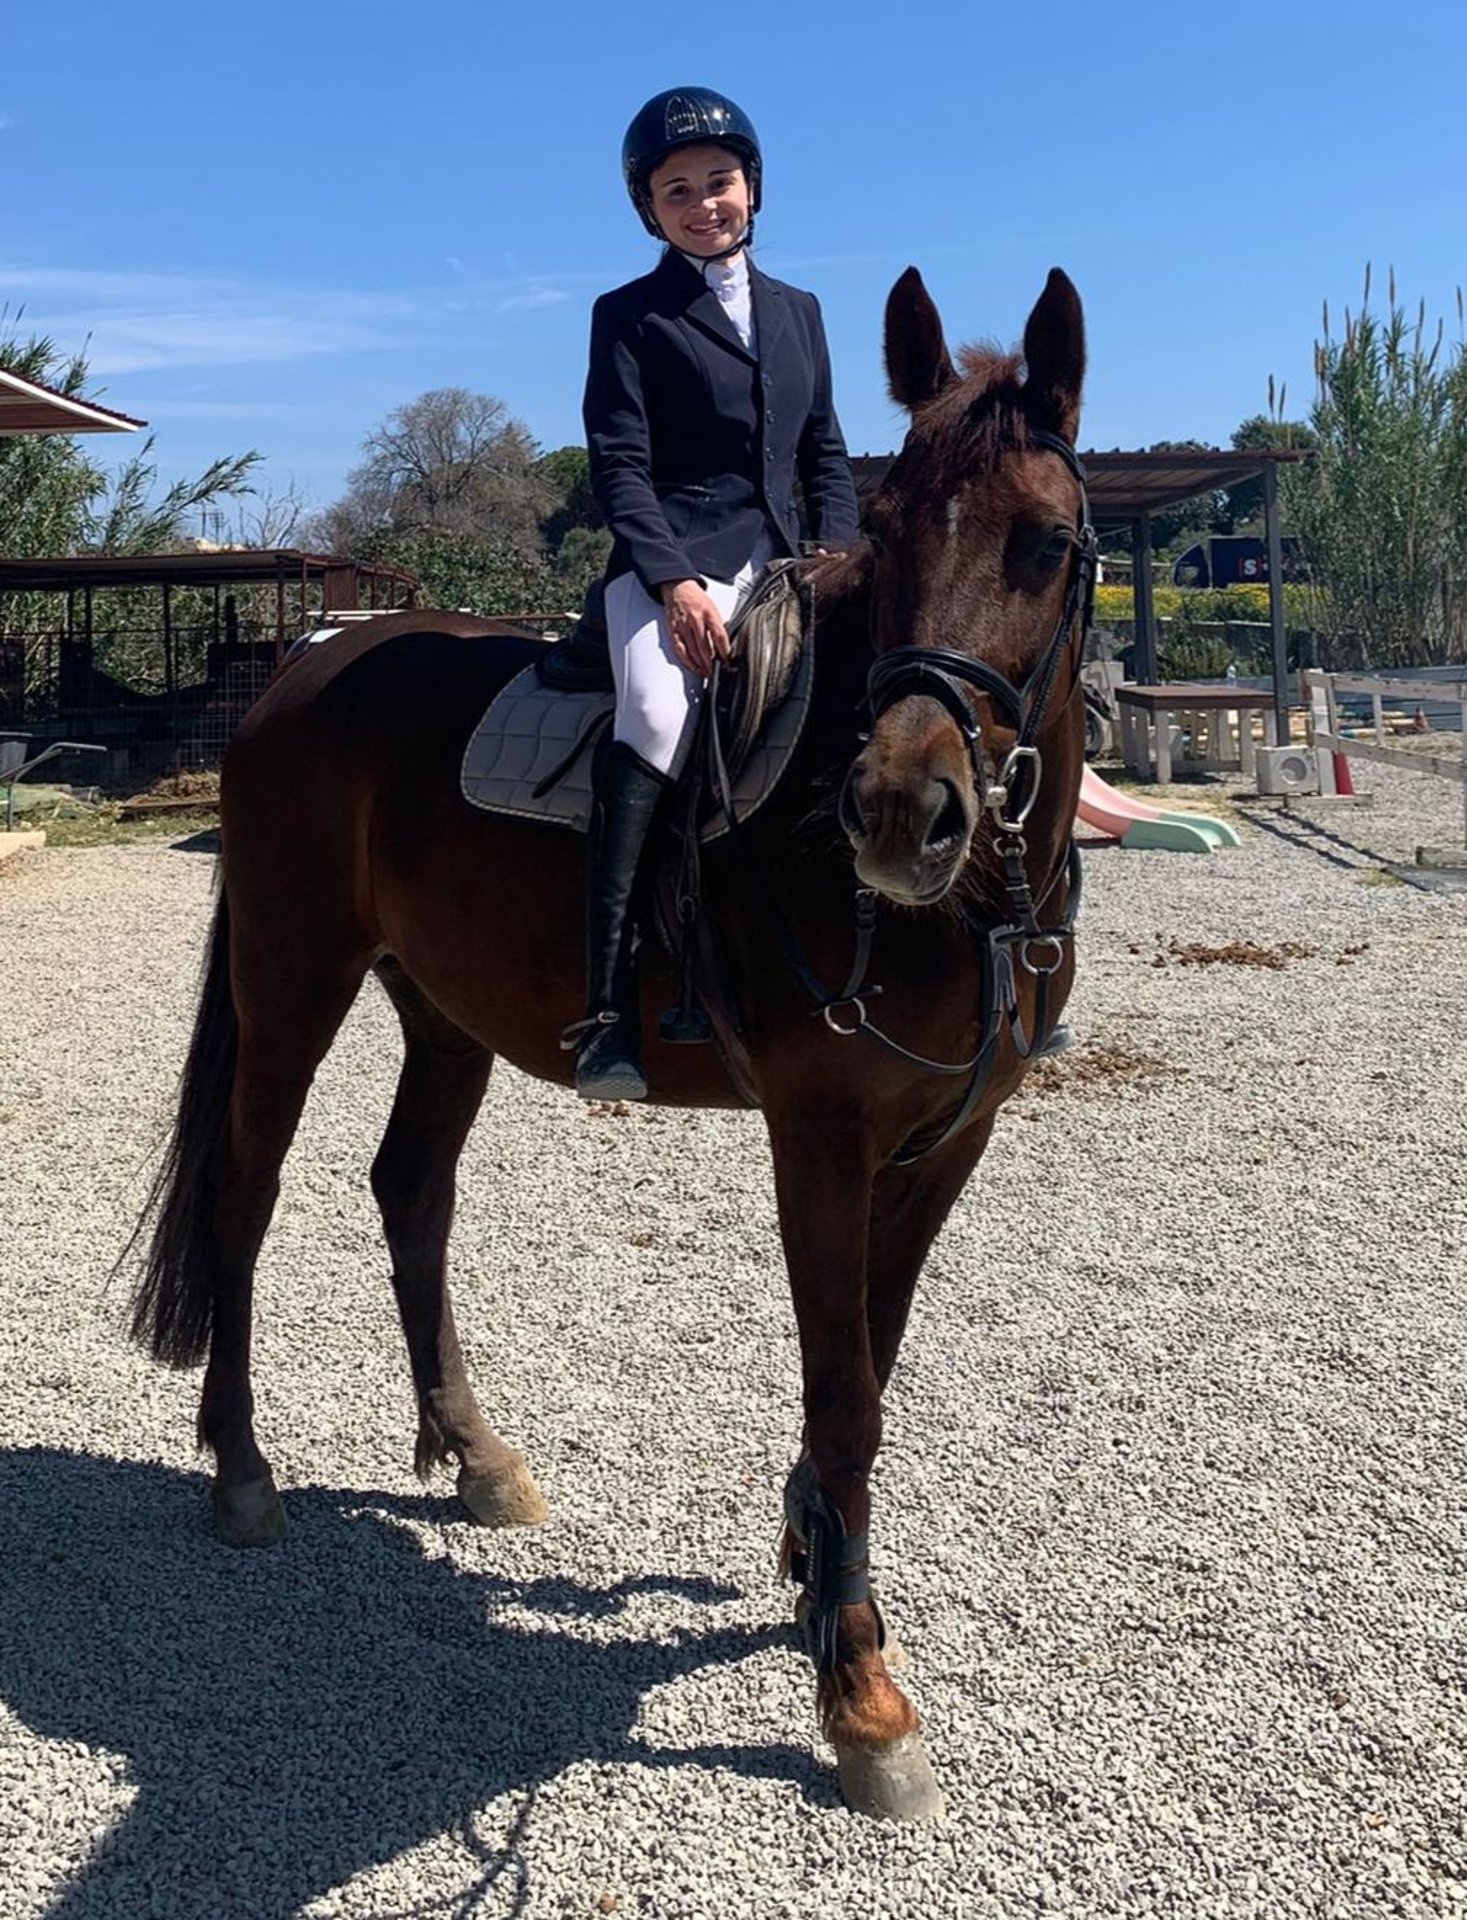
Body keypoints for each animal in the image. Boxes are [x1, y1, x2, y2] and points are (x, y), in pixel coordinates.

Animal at [127, 265, 1092, 1823]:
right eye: (886, 537)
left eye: (1049, 544)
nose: (899, 812)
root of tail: (309, 667)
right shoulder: (820, 1137)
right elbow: (846, 1394)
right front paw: (860, 1696)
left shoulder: (951, 1138)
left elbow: (871, 1367)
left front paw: (814, 1569)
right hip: (292, 979)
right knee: (243, 1195)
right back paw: (242, 1474)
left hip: (441, 1010)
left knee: (411, 1193)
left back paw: (475, 1459)